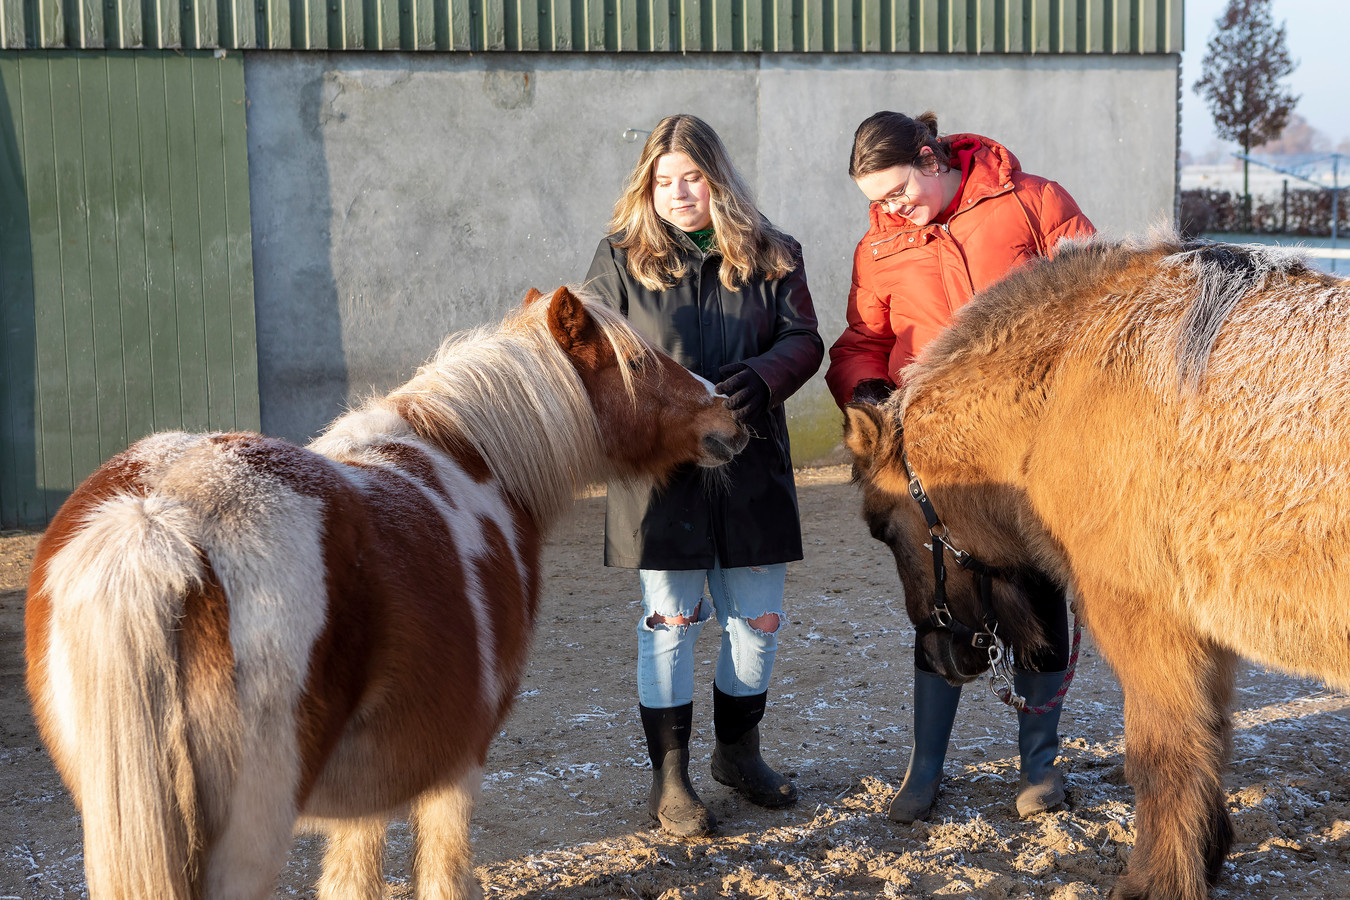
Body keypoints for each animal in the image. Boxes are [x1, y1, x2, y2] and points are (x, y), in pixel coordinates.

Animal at [24, 286, 746, 900]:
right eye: (638, 361)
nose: (729, 413)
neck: (468, 455)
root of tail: (153, 523)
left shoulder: (370, 767)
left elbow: (354, 871)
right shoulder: (459, 757)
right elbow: (442, 869)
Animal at [842, 235, 1350, 900]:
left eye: (884, 531)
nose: (940, 656)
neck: (1074, 380)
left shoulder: (1150, 625)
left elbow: (1162, 757)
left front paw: (1158, 882)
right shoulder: (1205, 636)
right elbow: (1210, 741)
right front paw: (1205, 854)